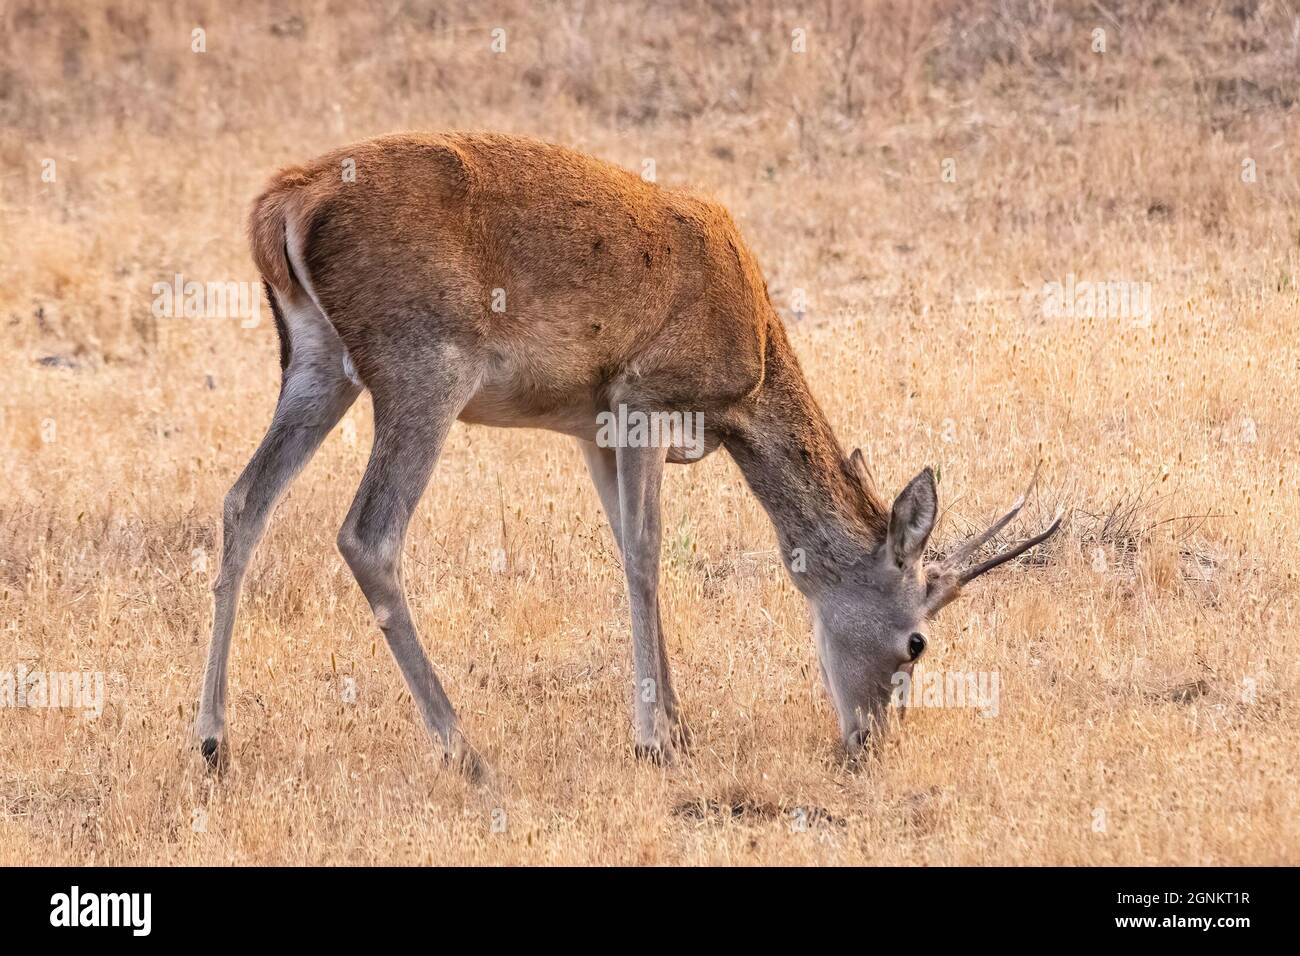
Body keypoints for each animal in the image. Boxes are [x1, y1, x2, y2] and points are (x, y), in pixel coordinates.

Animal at [197, 132, 1061, 779]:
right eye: (918, 638)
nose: (869, 743)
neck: (750, 356)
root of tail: (284, 205)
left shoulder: (593, 427)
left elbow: (622, 547)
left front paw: (672, 723)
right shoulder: (643, 395)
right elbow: (646, 554)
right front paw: (659, 739)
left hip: (315, 363)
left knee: (244, 500)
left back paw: (211, 743)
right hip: (424, 368)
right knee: (368, 534)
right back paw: (466, 751)